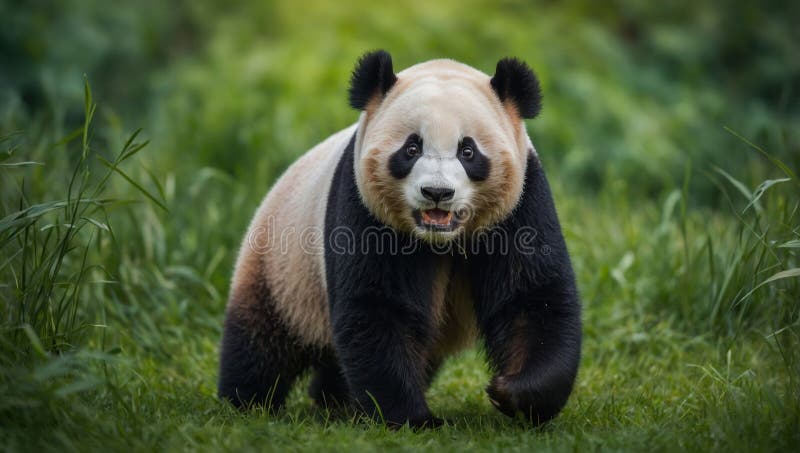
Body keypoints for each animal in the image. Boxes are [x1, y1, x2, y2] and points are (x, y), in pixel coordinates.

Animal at [218, 50, 581, 428]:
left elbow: (532, 299)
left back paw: (336, 398)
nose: (437, 192)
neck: (441, 239)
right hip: (282, 266)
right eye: (411, 148)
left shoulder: (520, 206)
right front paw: (412, 418)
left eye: (468, 151)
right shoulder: (364, 207)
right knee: (259, 341)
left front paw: (511, 392)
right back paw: (248, 402)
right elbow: (378, 307)